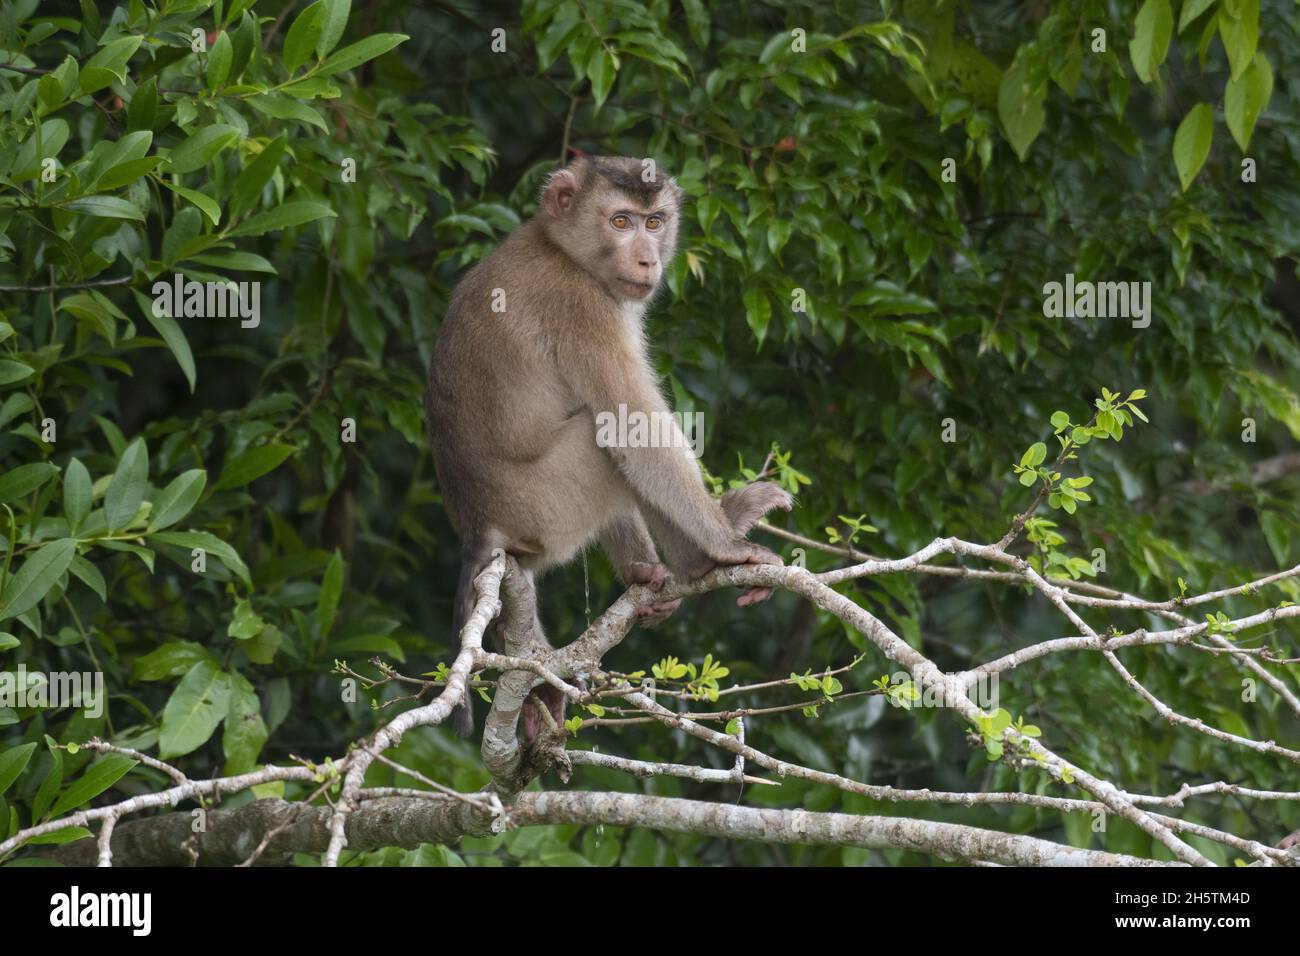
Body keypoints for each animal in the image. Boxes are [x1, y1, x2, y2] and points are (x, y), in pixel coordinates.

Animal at [426, 155, 794, 739]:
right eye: (621, 222)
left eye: (655, 221)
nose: (647, 258)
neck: (561, 247)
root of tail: (477, 526)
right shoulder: (582, 305)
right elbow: (634, 427)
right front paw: (725, 547)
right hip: (546, 504)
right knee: (603, 437)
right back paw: (699, 560)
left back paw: (645, 576)